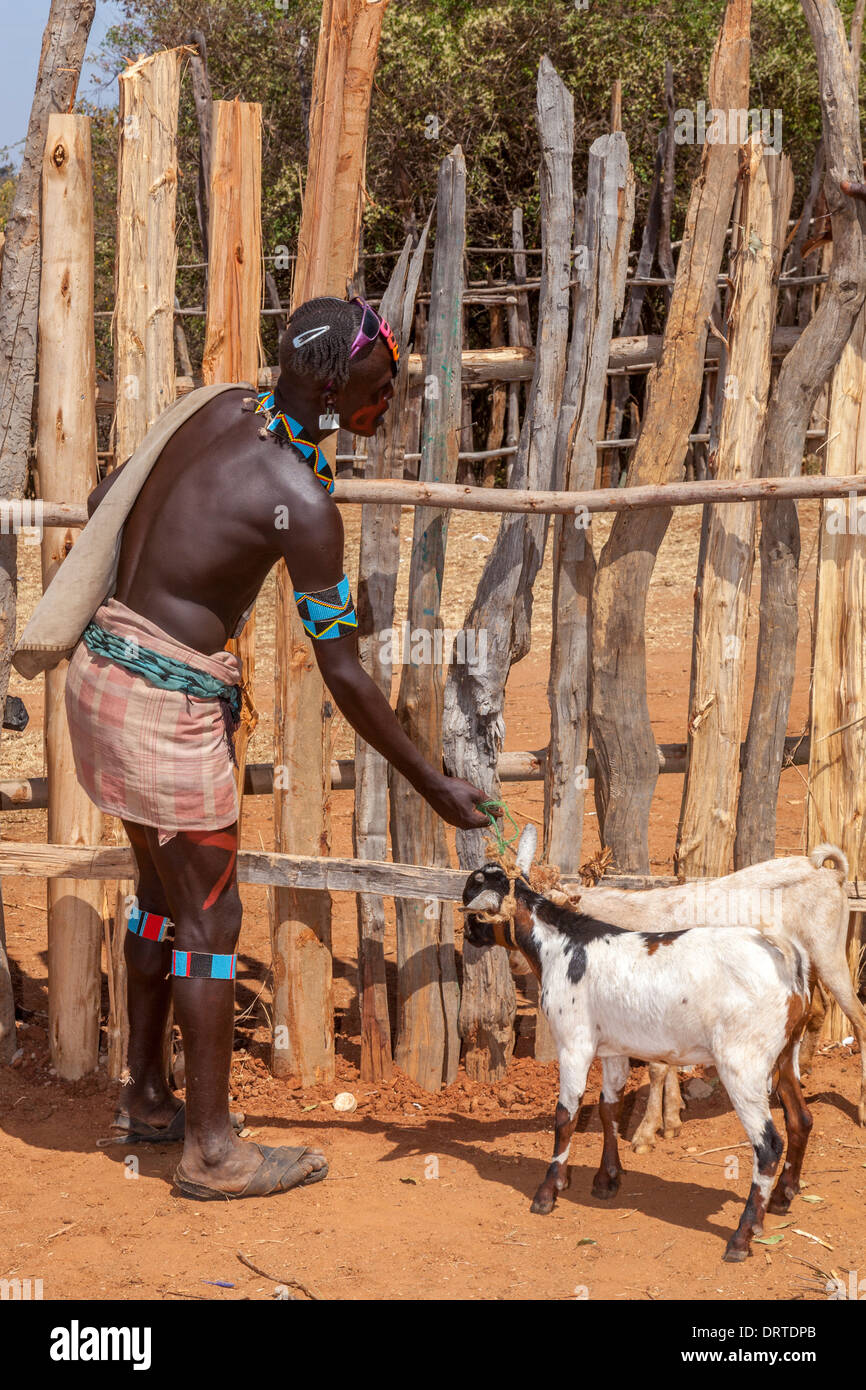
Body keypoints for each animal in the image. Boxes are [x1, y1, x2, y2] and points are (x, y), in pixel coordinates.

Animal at [462, 826, 817, 1262]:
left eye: (475, 907)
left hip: (743, 1064)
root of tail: (786, 957)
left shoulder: (574, 1043)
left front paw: (547, 1192)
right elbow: (608, 1108)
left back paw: (742, 1237)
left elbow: (566, 1115)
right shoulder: (614, 1049)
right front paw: (606, 1179)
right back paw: (783, 1197)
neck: (561, 946)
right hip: (785, 1054)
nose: (467, 934)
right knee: (801, 1119)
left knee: (768, 1145)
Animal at [578, 845, 864, 1150]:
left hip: (828, 953)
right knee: (816, 1009)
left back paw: (860, 1109)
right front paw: (673, 1117)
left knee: (858, 1018)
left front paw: (646, 1132)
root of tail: (833, 873)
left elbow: (657, 1068)